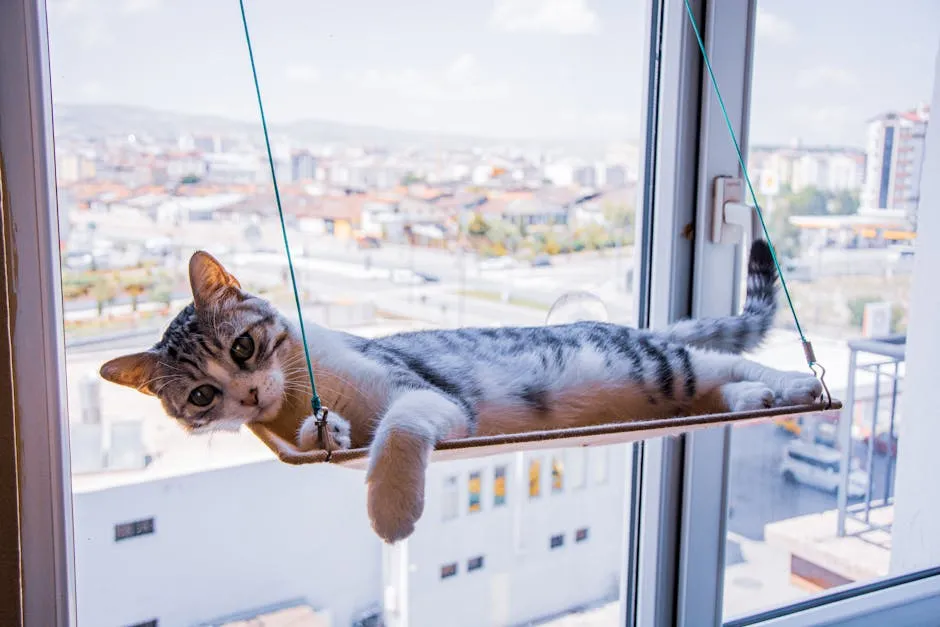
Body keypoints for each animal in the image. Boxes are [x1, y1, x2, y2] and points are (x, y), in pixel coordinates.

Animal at [101, 240, 824, 544]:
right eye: (201, 397)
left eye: (243, 348)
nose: (248, 399)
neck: (305, 389)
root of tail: (632, 326)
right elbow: (334, 434)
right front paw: (325, 433)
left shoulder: (427, 394)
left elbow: (400, 426)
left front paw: (392, 509)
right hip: (668, 385)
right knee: (713, 387)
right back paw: (751, 403)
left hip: (652, 362)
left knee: (715, 360)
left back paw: (794, 383)